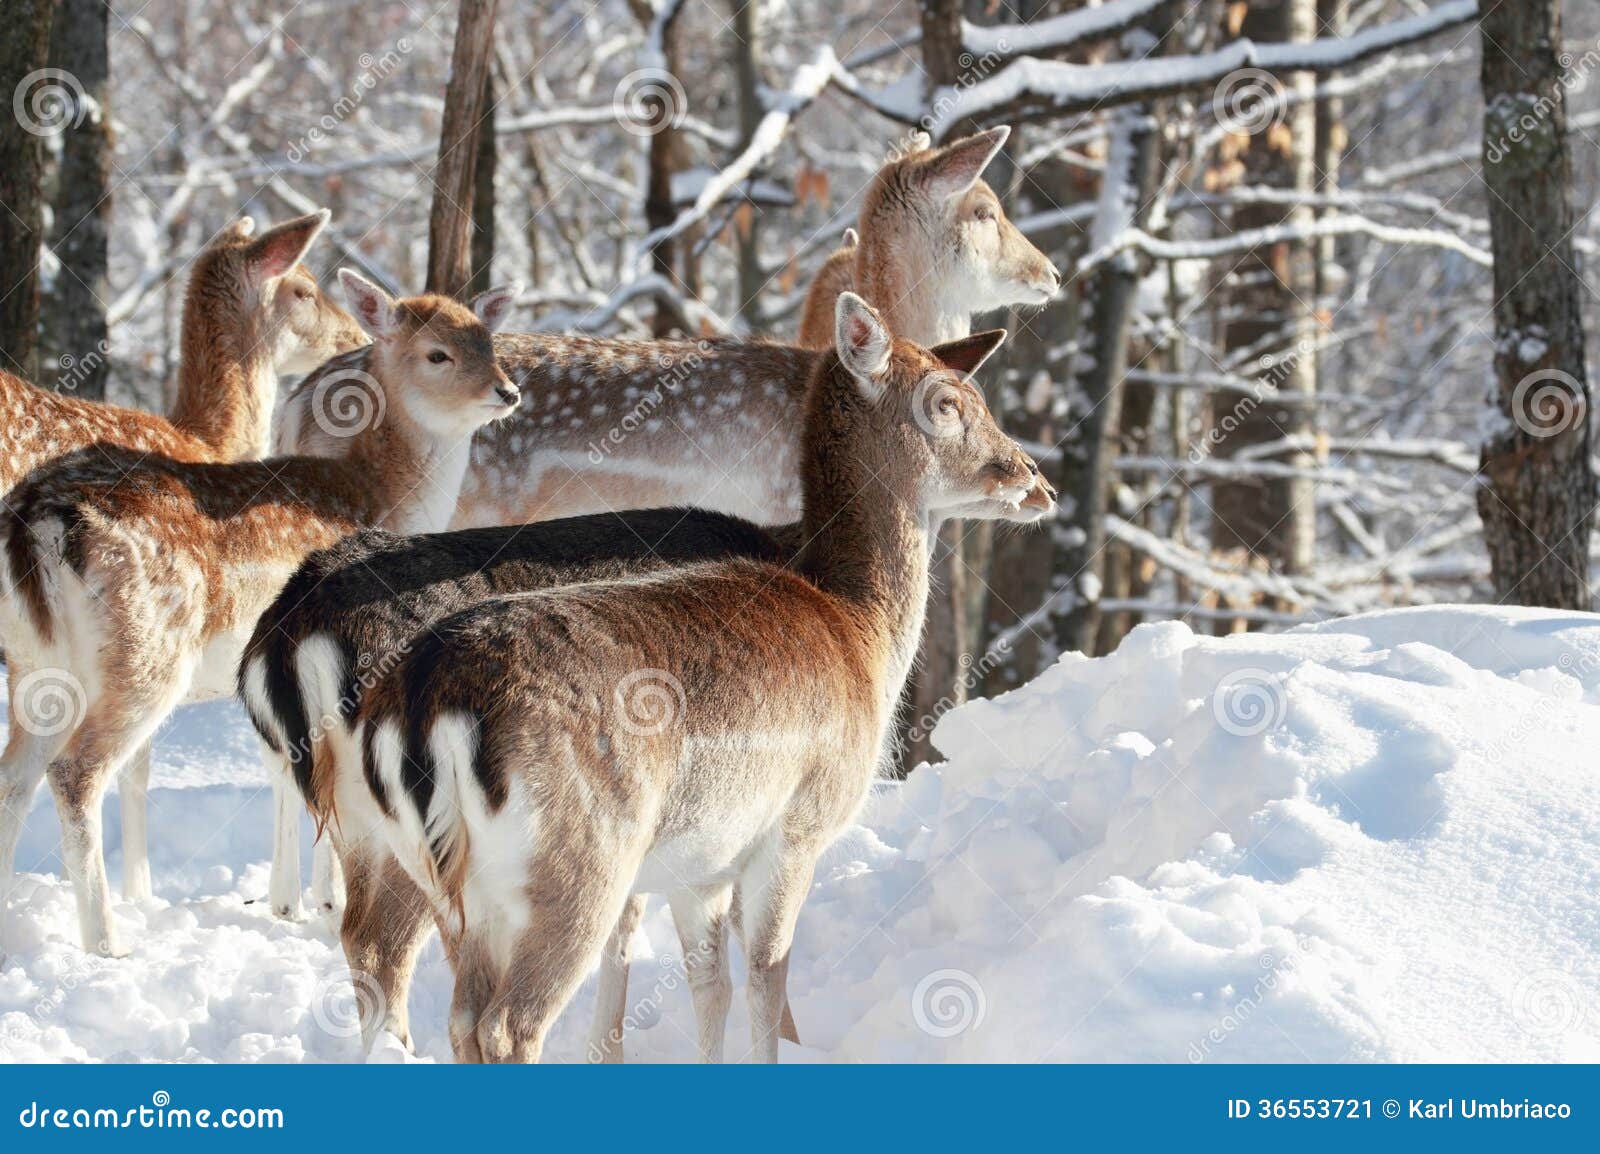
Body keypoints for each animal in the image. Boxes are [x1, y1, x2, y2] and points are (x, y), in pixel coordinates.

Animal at [346, 294, 1052, 1063]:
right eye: (949, 402)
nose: (1034, 479)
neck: (860, 628)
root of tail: (421, 703)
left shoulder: (701, 866)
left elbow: (710, 983)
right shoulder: (797, 826)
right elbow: (768, 975)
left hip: (450, 881)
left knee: (459, 1015)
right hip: (577, 862)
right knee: (507, 1022)